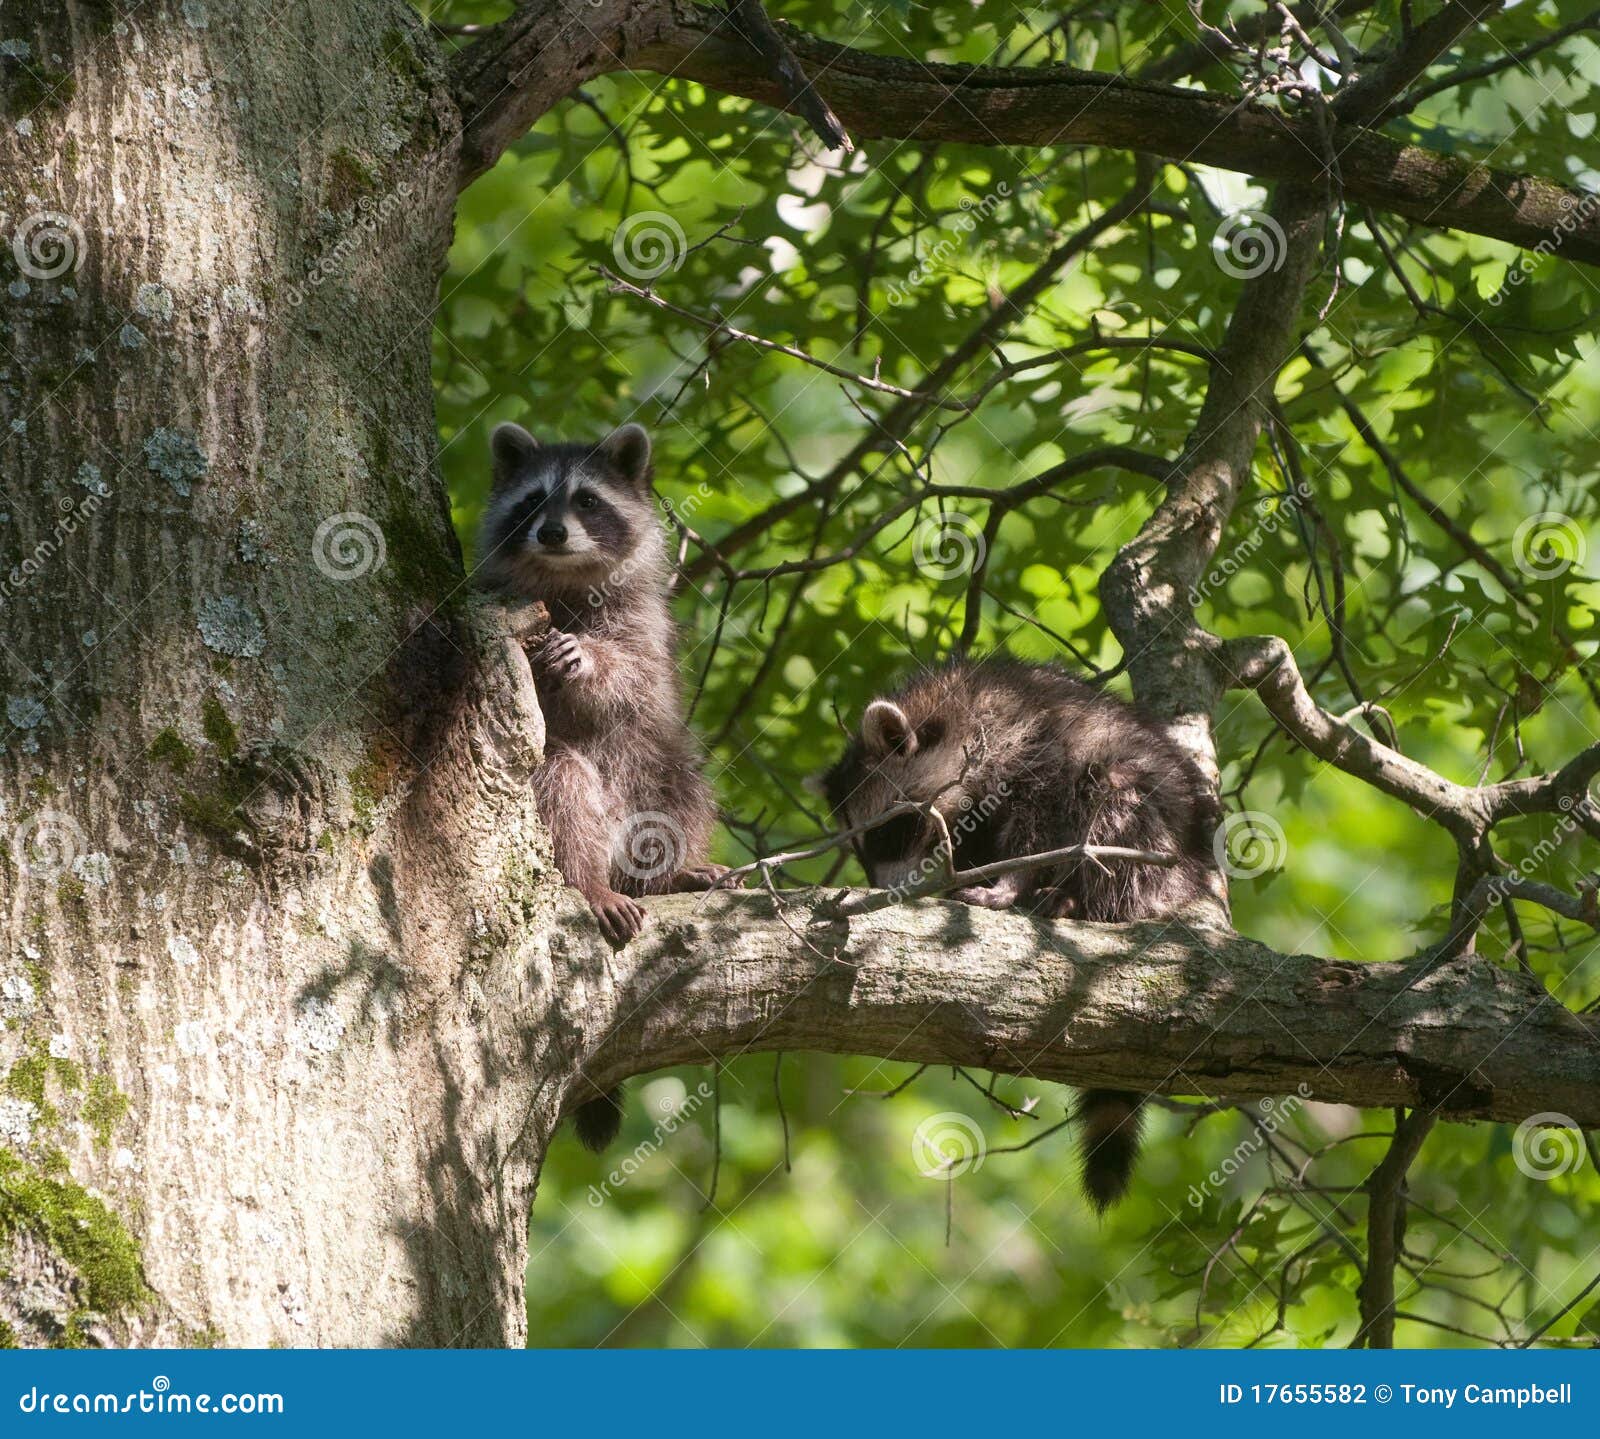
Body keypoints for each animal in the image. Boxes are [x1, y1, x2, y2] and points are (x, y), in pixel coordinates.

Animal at [479, 422, 724, 1150]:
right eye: (533, 500)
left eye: (587, 500)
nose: (554, 532)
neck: (566, 579)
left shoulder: (644, 623)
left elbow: (636, 675)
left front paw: (588, 659)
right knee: (563, 782)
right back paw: (590, 879)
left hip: (654, 772)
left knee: (682, 780)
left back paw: (671, 872)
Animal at [822, 657, 1220, 1211]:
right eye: (860, 850)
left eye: (890, 830)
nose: (884, 890)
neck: (951, 718)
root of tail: (1189, 873)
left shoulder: (1034, 747)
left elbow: (1038, 825)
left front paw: (1010, 884)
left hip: (1150, 832)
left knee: (1110, 802)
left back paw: (1079, 900)